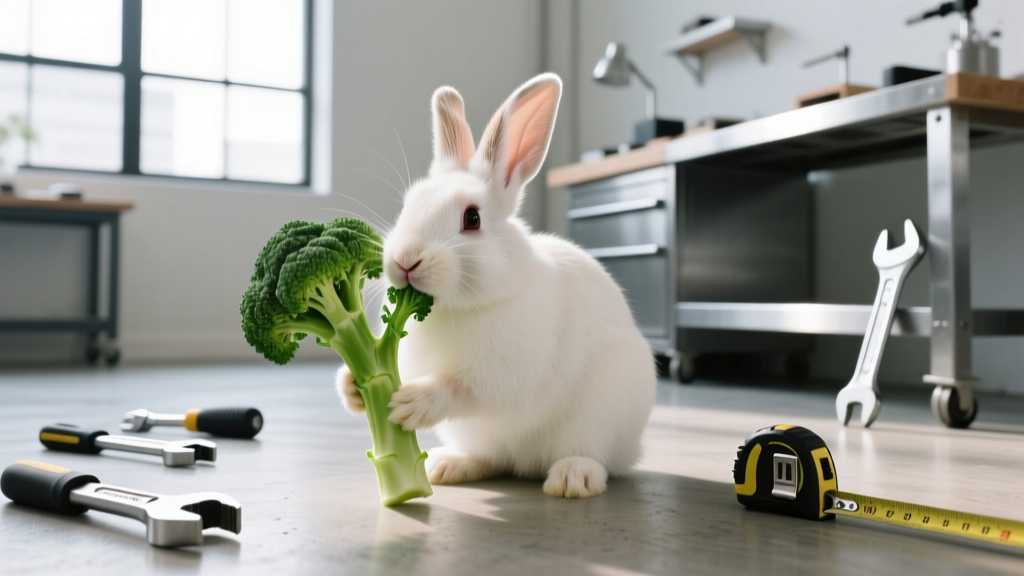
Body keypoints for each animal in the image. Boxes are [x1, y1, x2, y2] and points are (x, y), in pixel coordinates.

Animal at [337, 72, 656, 498]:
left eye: (472, 218)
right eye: (408, 206)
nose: (406, 260)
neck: (455, 307)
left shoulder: (504, 375)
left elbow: (461, 389)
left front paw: (410, 404)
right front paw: (353, 386)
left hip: (602, 414)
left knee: (595, 457)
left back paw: (572, 478)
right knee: (492, 459)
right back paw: (449, 466)